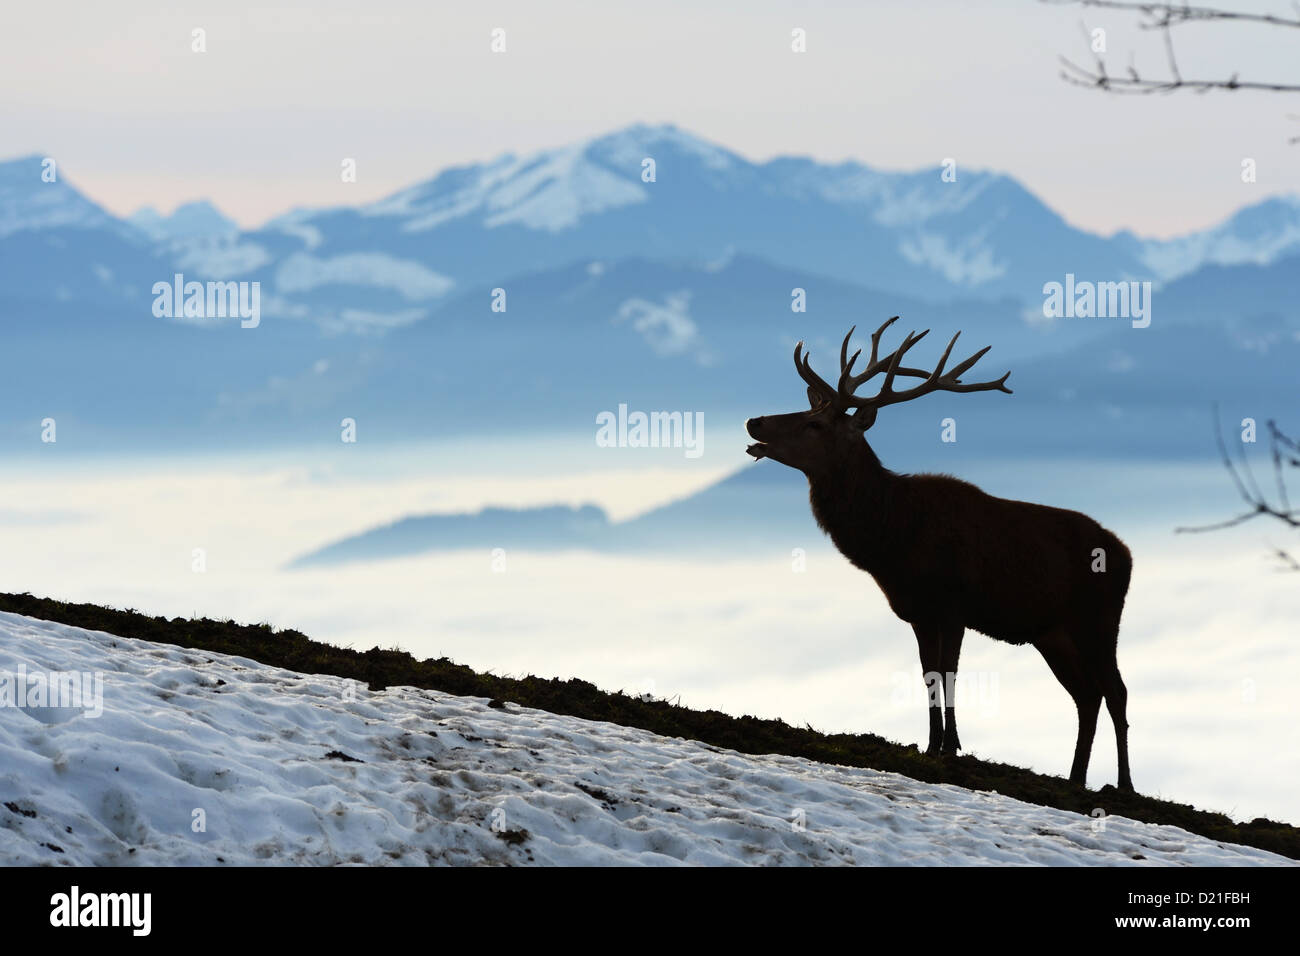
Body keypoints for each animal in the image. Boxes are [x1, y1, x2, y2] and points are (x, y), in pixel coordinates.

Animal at [745, 317, 1134, 791]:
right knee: (1086, 694)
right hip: (1052, 634)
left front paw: (953, 746)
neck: (893, 541)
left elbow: (949, 671)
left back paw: (1125, 785)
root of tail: (1127, 554)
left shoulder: (953, 604)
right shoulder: (918, 612)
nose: (754, 421)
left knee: (1115, 691)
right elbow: (928, 672)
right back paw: (1075, 777)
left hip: (1099, 620)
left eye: (815, 424)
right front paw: (931, 746)